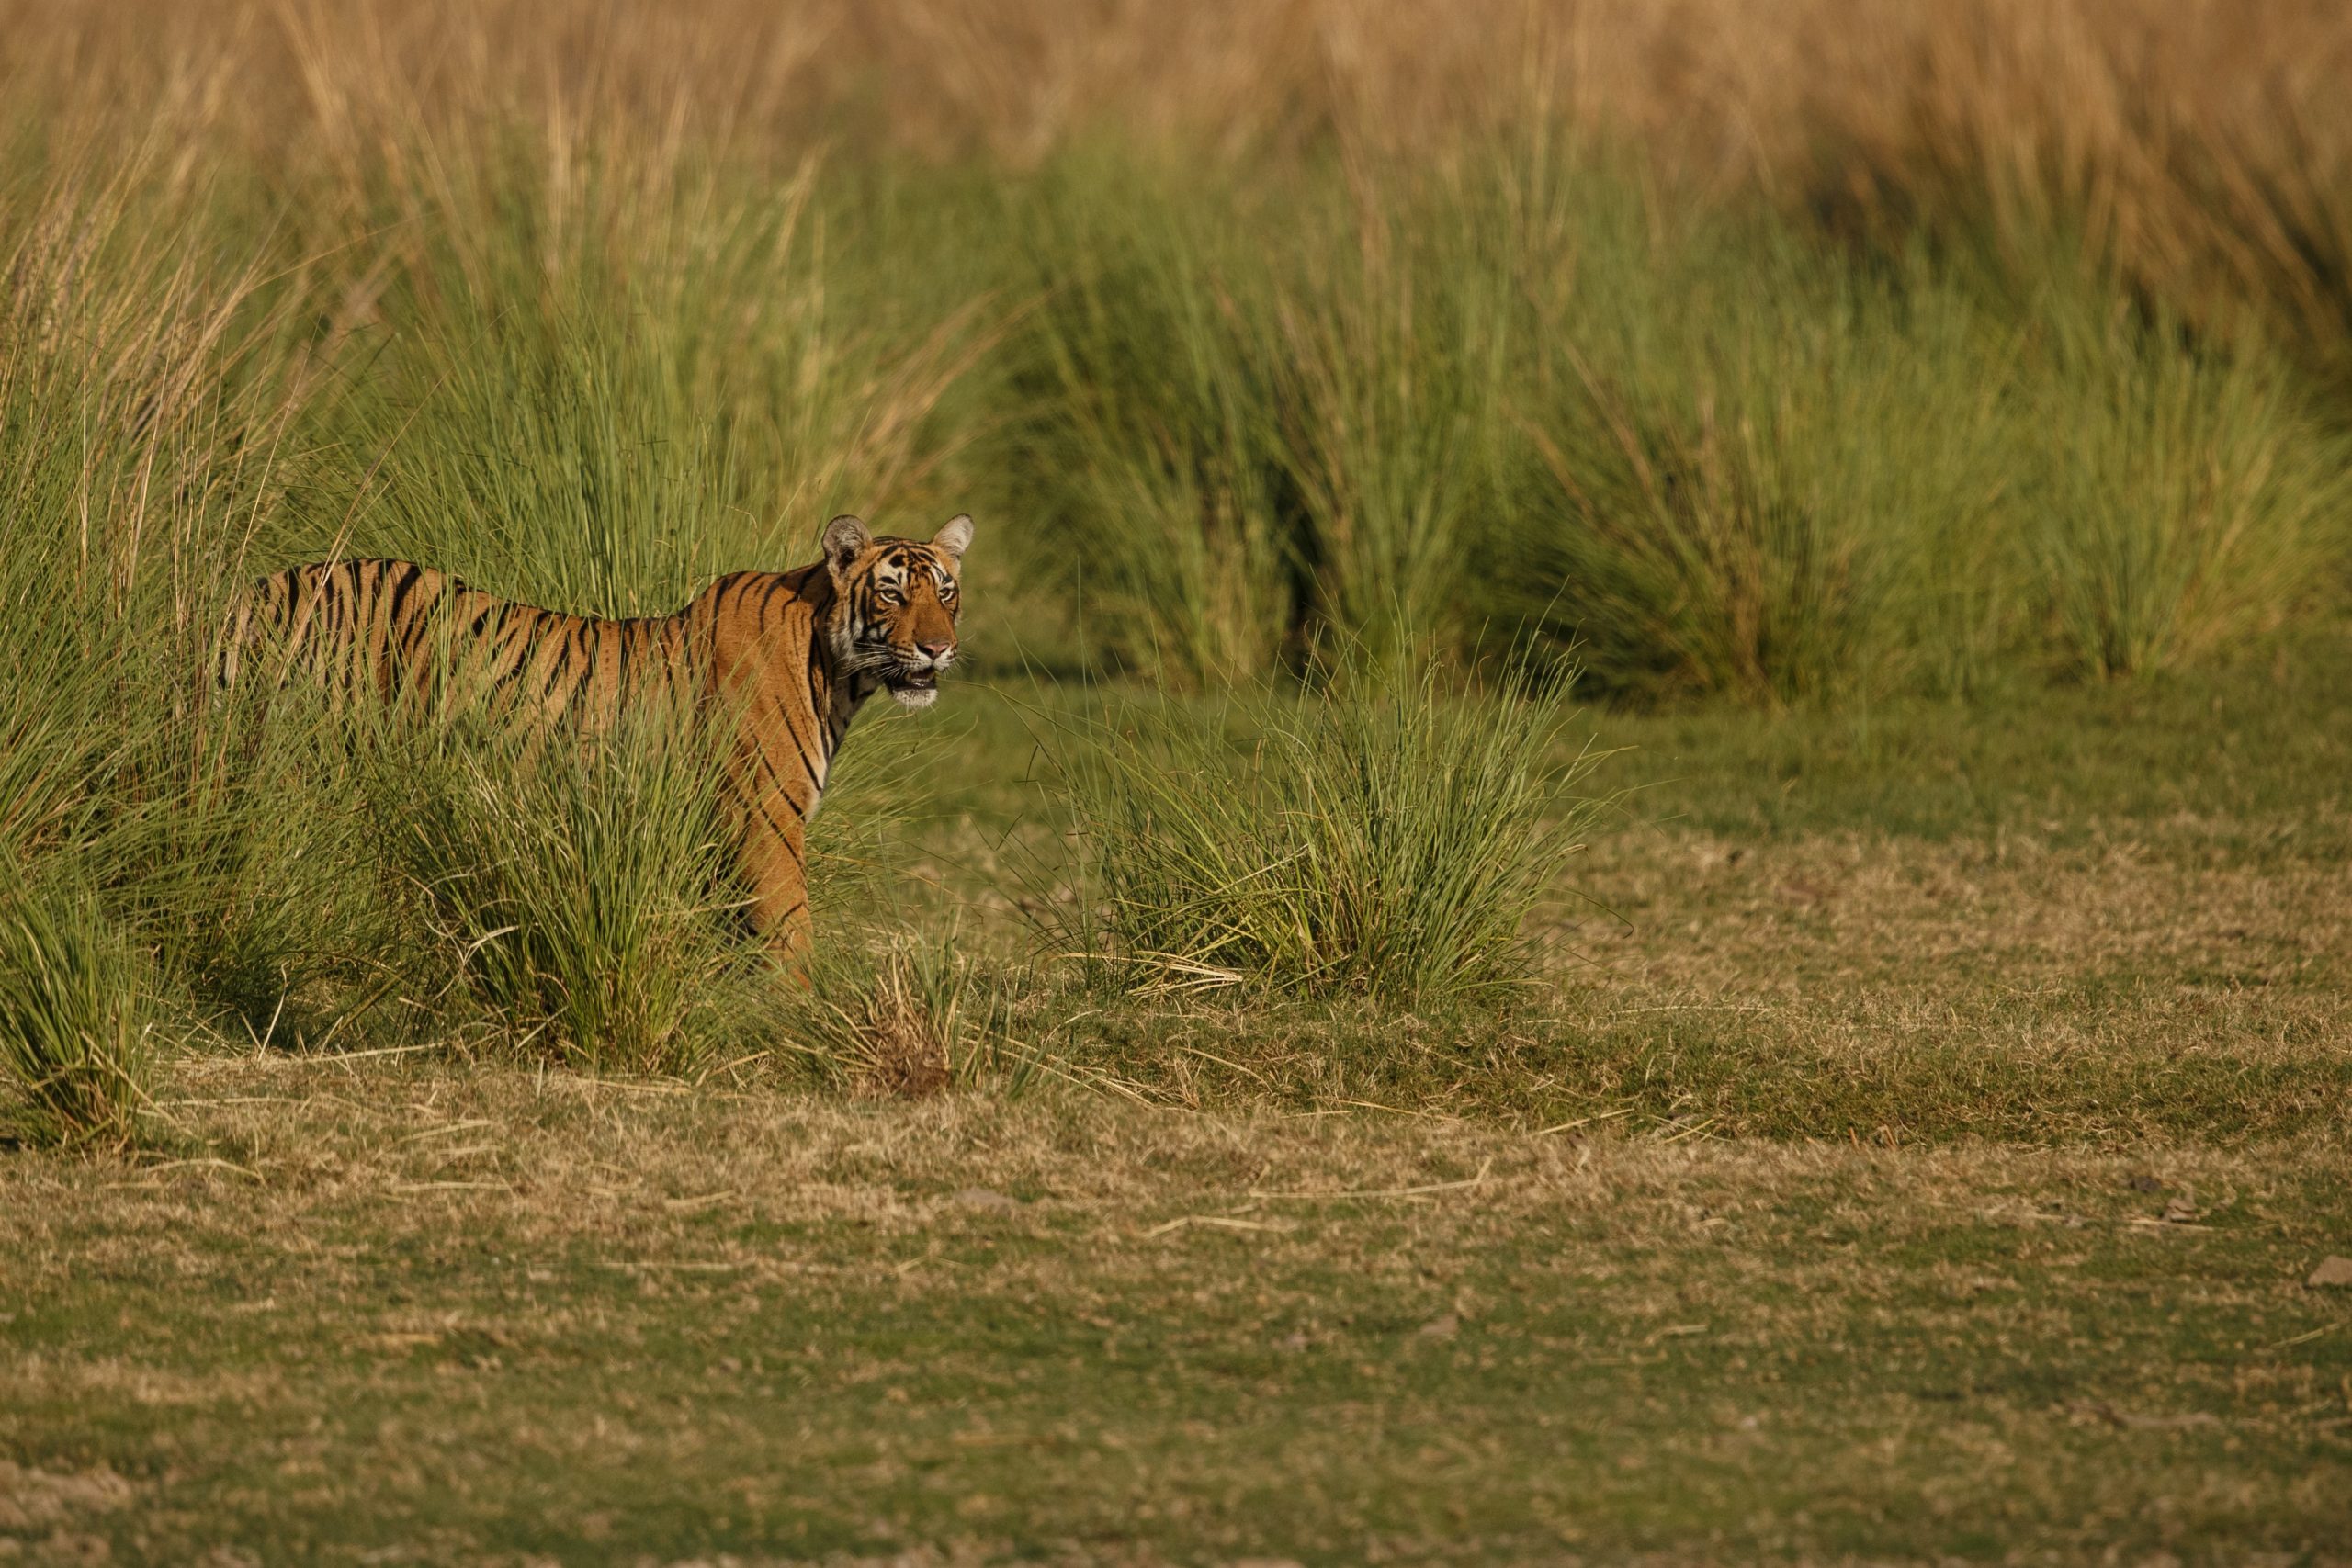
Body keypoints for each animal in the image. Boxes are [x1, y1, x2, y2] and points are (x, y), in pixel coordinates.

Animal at [218, 513, 973, 958]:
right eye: (892, 594)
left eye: (946, 592)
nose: (938, 649)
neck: (835, 671)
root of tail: (260, 588)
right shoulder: (766, 823)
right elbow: (792, 937)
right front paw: (801, 1023)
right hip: (305, 767)